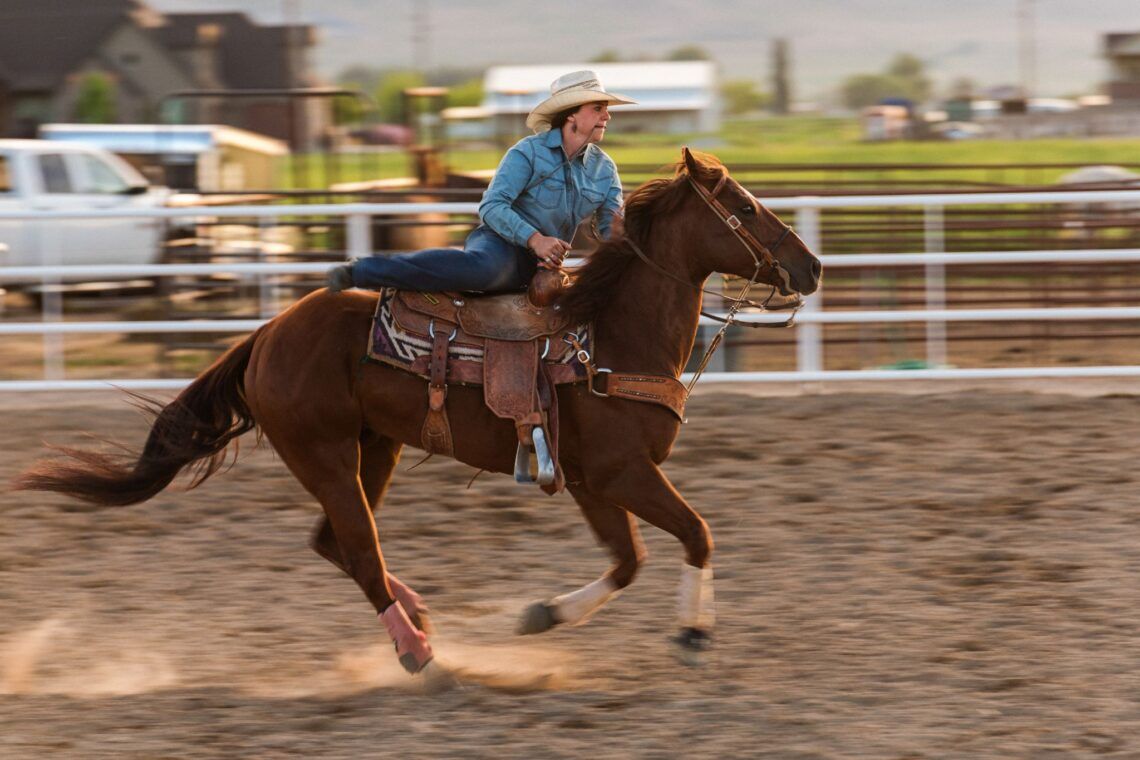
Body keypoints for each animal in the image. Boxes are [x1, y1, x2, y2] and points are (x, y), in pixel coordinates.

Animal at [16, 148, 821, 678]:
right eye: (744, 208)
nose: (811, 267)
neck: (610, 337)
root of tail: (267, 335)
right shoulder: (624, 473)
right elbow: (696, 535)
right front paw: (693, 635)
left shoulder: (594, 481)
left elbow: (629, 562)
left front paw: (541, 615)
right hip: (327, 457)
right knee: (360, 552)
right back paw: (417, 650)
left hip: (377, 448)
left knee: (337, 545)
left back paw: (422, 616)